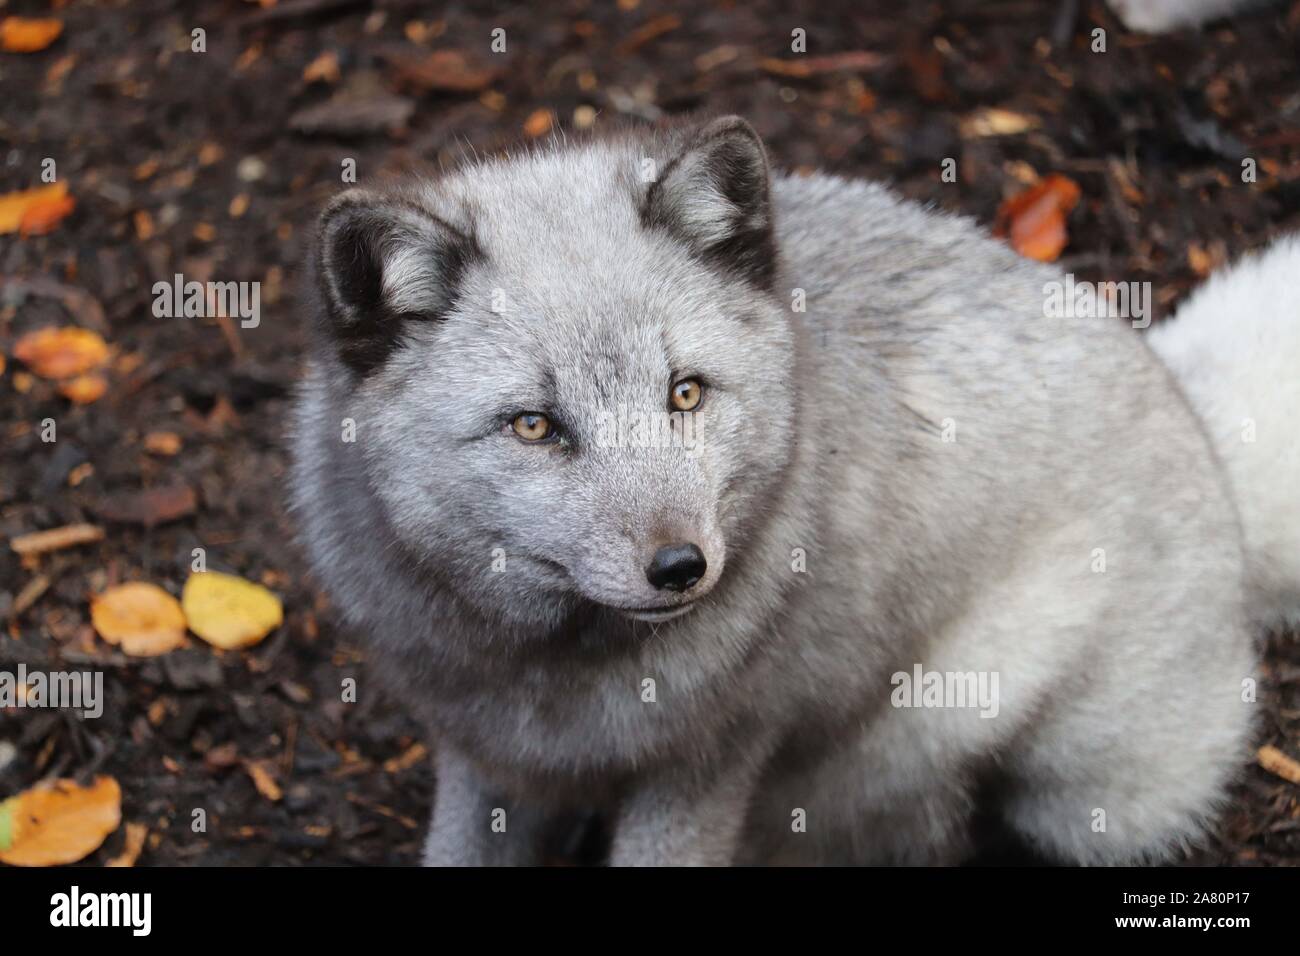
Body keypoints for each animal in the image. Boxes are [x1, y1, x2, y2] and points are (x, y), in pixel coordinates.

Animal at [289, 115, 1298, 866]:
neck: (554, 680)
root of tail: (1196, 416)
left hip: (1065, 773)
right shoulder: (479, 754)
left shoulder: (709, 763)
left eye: (684, 393)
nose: (680, 567)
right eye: (535, 426)